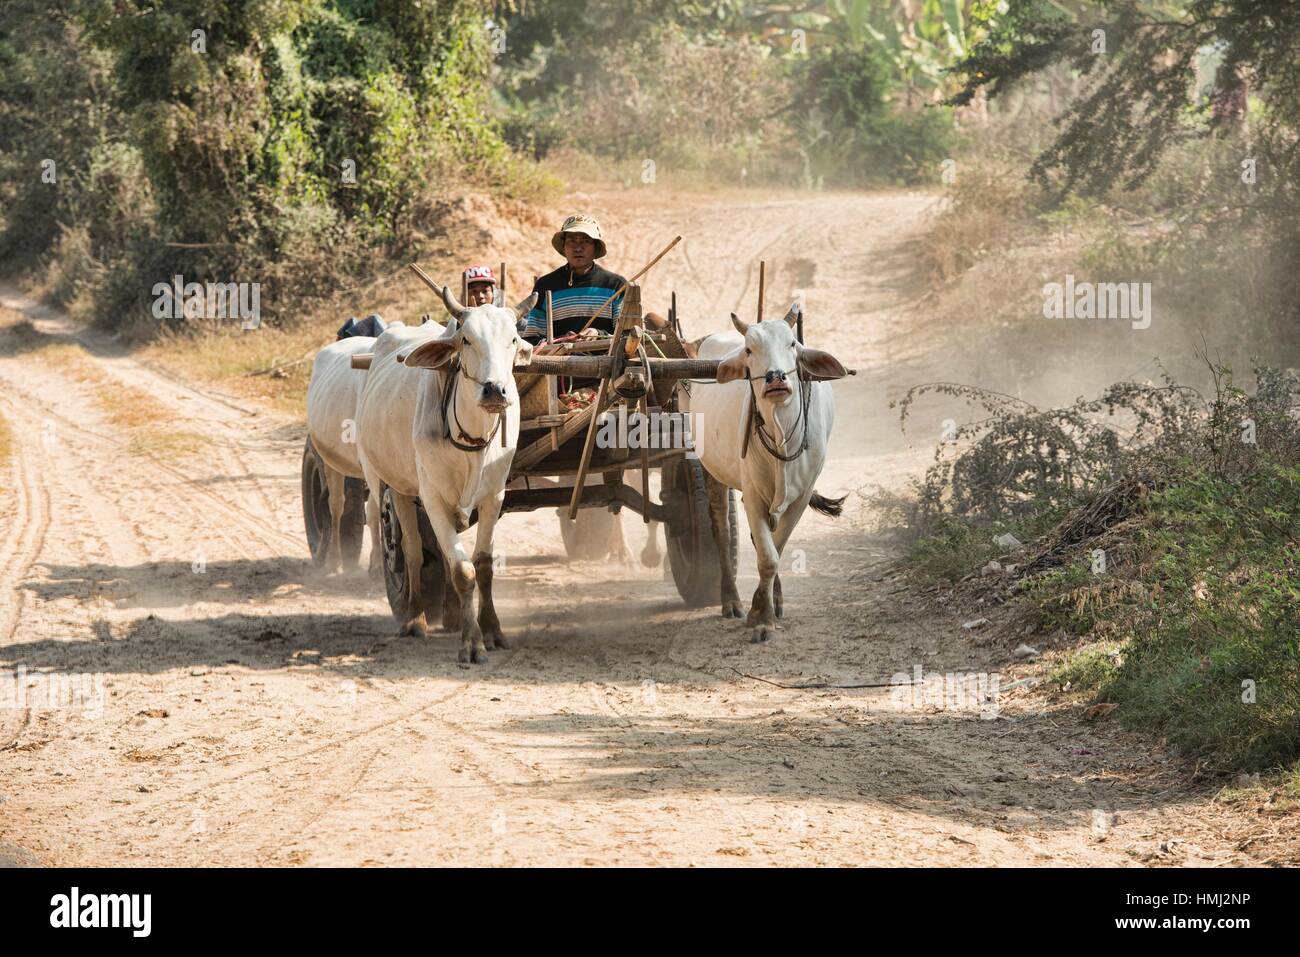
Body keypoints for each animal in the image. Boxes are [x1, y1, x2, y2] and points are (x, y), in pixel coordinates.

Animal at [356, 284, 536, 662]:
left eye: (513, 339)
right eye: (466, 339)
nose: (495, 390)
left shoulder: (493, 496)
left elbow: (482, 565)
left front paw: (492, 630)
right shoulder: (433, 497)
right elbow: (461, 569)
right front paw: (472, 642)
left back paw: (452, 615)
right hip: (391, 484)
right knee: (409, 550)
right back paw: (414, 619)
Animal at [680, 303, 848, 643]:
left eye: (792, 344)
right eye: (749, 350)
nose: (775, 378)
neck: (782, 432)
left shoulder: (801, 497)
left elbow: (776, 548)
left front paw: (766, 606)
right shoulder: (755, 494)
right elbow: (768, 557)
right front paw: (761, 618)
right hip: (712, 471)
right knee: (721, 529)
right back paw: (731, 600)